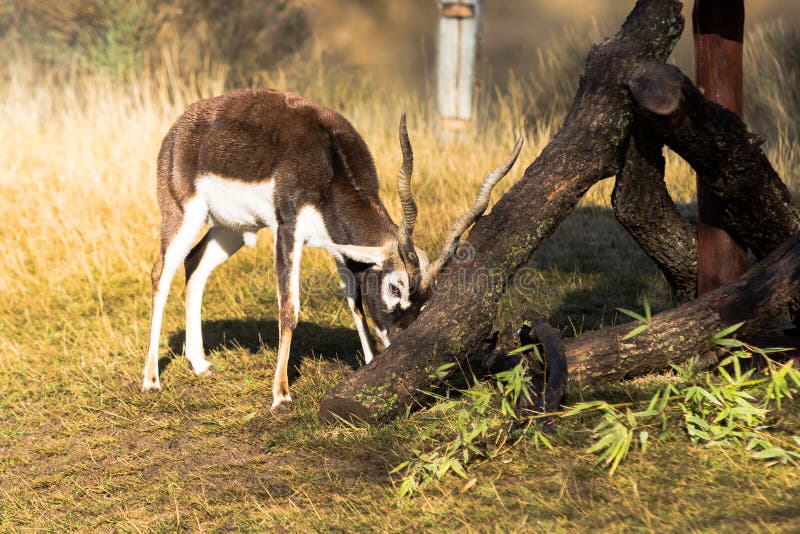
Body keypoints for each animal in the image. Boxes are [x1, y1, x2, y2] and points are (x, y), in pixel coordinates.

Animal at [141, 88, 522, 409]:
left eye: (426, 301)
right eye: (395, 287)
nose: (400, 344)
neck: (331, 164)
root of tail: (180, 126)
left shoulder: (339, 245)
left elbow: (355, 303)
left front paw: (369, 364)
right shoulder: (288, 228)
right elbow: (289, 309)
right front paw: (281, 394)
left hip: (233, 228)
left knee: (195, 266)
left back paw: (199, 363)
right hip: (184, 214)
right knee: (161, 273)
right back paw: (151, 381)